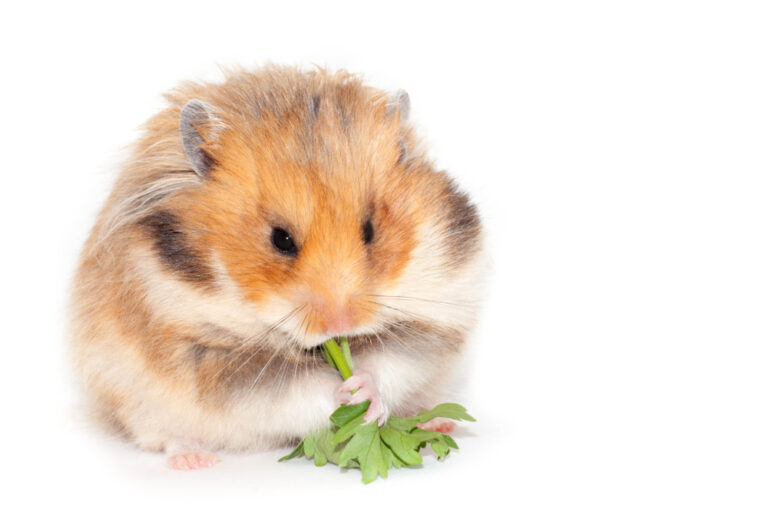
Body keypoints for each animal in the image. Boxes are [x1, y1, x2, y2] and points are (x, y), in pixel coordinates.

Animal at [70, 66, 484, 470]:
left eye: (370, 230)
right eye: (280, 239)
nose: (341, 324)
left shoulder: (431, 320)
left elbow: (388, 363)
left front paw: (364, 395)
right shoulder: (207, 356)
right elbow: (299, 389)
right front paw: (346, 396)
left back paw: (438, 424)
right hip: (136, 399)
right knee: (163, 436)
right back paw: (194, 460)